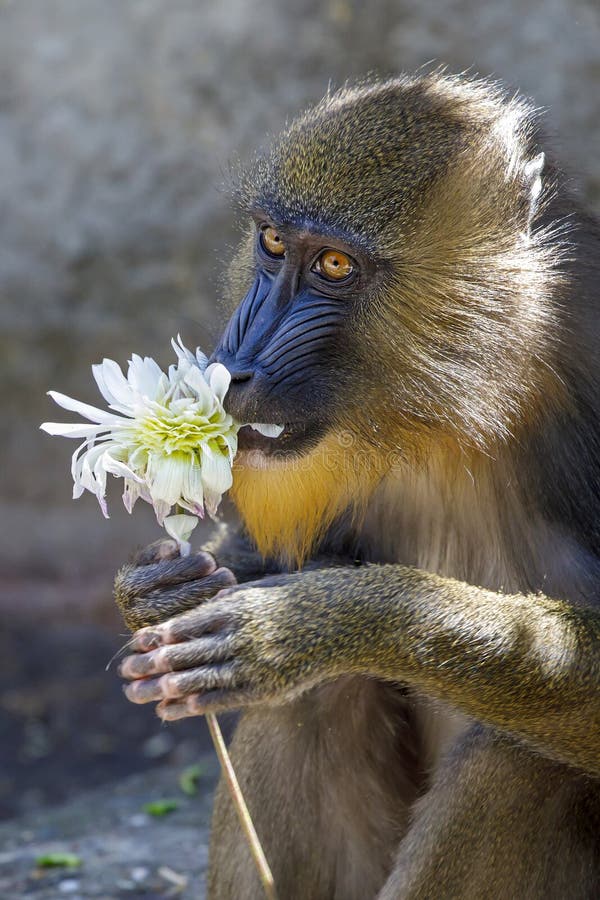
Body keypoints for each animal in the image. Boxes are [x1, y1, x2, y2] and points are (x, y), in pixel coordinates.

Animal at [115, 72, 600, 899]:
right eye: (274, 243)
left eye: (335, 267)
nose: (233, 368)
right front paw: (160, 587)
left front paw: (308, 625)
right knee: (316, 700)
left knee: (518, 758)